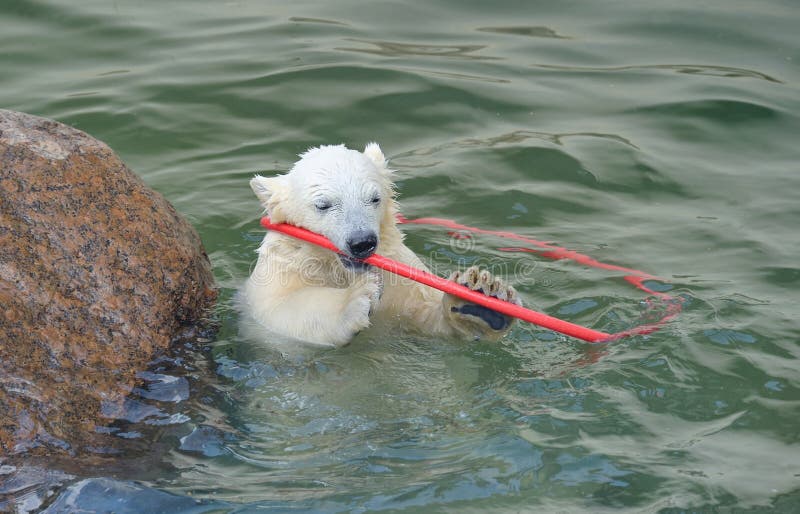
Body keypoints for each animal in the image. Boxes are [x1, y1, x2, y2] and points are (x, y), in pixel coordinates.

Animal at [240, 143, 521, 347]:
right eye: (323, 204)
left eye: (374, 198)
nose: (362, 242)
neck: (337, 268)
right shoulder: (279, 274)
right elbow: (285, 312)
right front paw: (358, 297)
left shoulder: (399, 279)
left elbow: (426, 316)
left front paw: (482, 297)